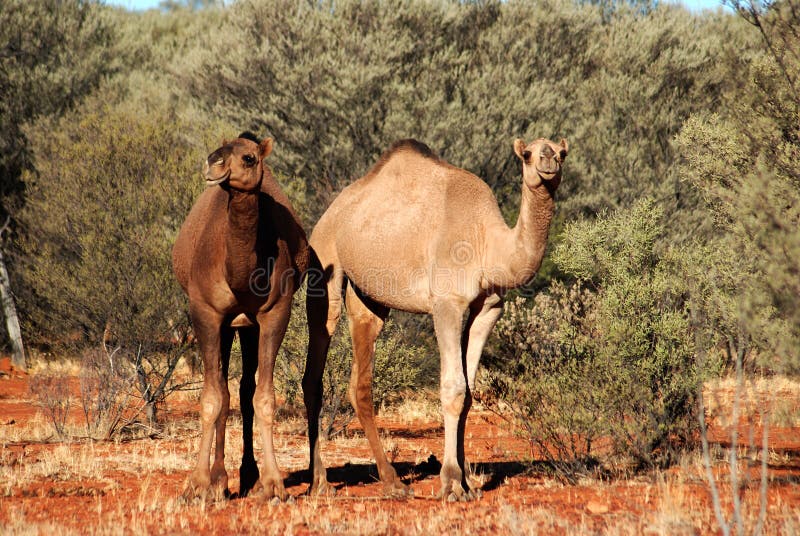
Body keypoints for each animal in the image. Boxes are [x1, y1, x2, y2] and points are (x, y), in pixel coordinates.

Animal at [172, 133, 309, 501]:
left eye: (249, 158)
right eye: (216, 151)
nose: (213, 163)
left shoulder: (275, 312)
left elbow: (264, 398)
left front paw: (274, 484)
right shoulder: (205, 312)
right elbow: (210, 398)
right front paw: (198, 485)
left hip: (245, 327)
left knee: (244, 390)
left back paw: (248, 475)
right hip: (226, 326)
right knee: (223, 386)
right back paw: (219, 478)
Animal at [303, 136, 567, 500]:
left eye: (563, 152)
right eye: (527, 154)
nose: (548, 159)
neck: (487, 241)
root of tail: (330, 212)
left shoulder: (489, 308)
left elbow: (469, 391)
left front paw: (468, 481)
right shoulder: (447, 303)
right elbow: (453, 388)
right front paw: (452, 483)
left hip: (369, 297)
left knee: (360, 380)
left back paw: (392, 481)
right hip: (325, 262)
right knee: (314, 368)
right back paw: (321, 483)